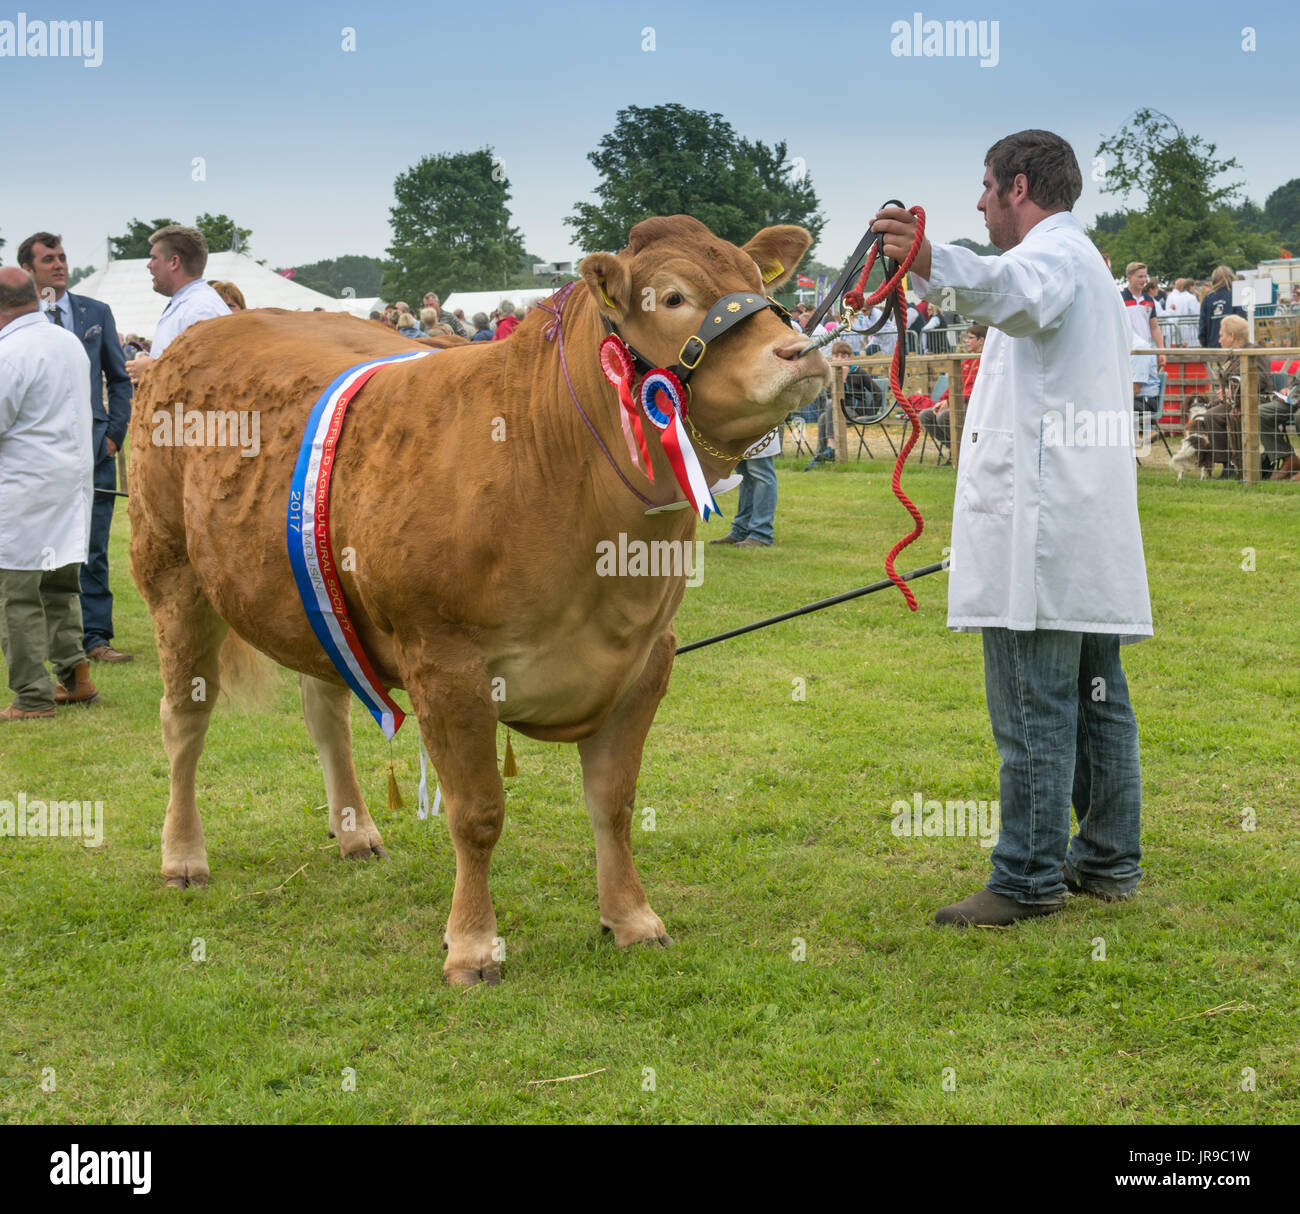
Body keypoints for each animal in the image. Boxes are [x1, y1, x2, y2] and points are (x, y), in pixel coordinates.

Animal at [128, 215, 829, 985]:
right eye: (673, 296)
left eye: (757, 280)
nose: (802, 351)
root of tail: (208, 330)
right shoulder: (445, 661)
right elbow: (477, 814)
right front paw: (471, 944)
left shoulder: (646, 657)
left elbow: (613, 803)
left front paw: (632, 918)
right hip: (170, 570)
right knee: (184, 720)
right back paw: (183, 856)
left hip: (309, 600)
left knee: (324, 712)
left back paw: (355, 831)